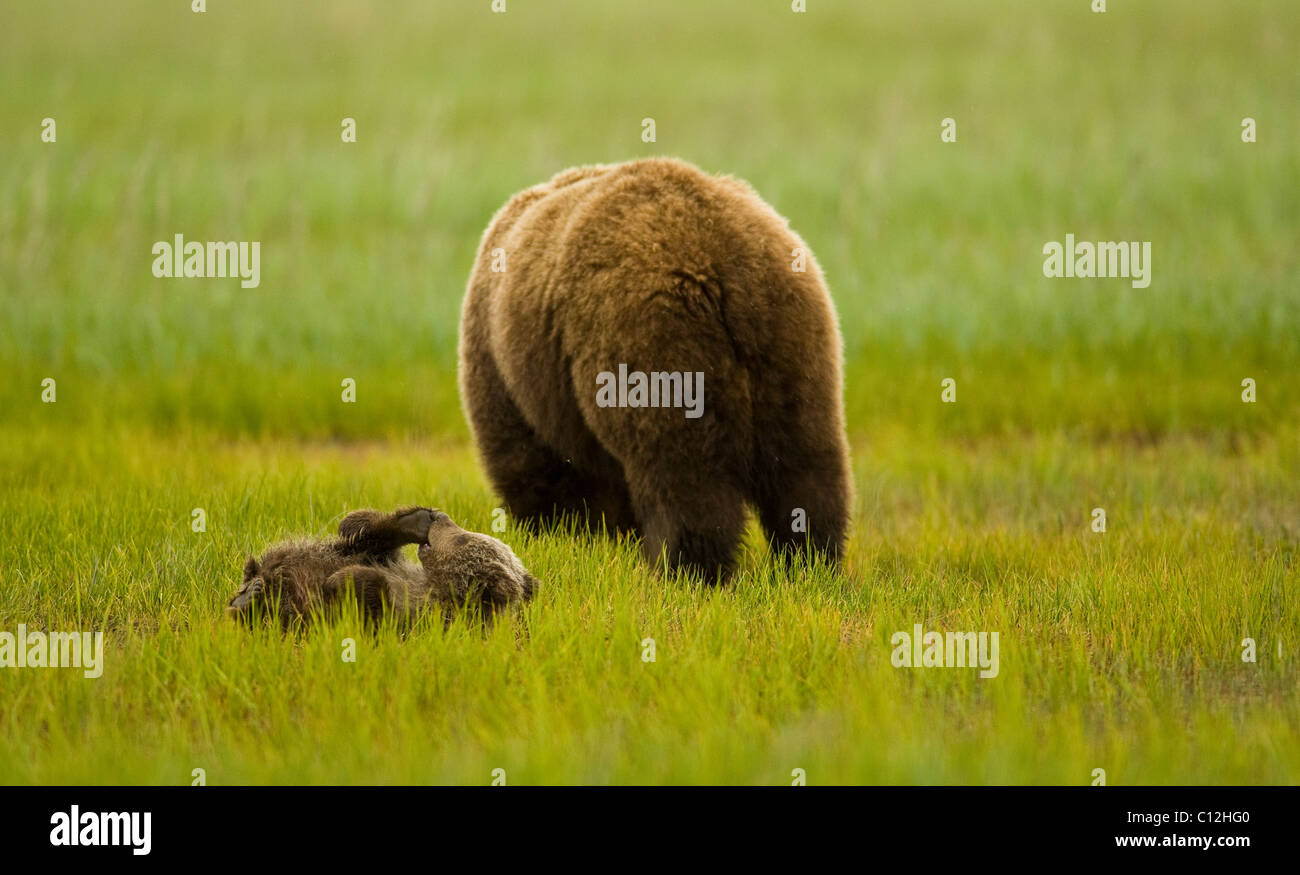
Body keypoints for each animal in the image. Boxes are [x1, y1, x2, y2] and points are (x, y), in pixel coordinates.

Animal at [225, 507, 536, 628]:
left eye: (462, 538)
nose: (442, 517)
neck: (431, 584)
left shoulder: (418, 617)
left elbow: (373, 595)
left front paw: (341, 578)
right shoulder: (394, 563)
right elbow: (375, 548)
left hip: (289, 608)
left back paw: (248, 598)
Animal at [459, 157, 852, 581]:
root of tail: (725, 263)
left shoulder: (509, 370)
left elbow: (533, 462)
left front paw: (556, 533)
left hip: (652, 341)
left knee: (681, 470)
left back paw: (686, 568)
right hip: (795, 344)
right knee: (806, 465)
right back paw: (810, 562)